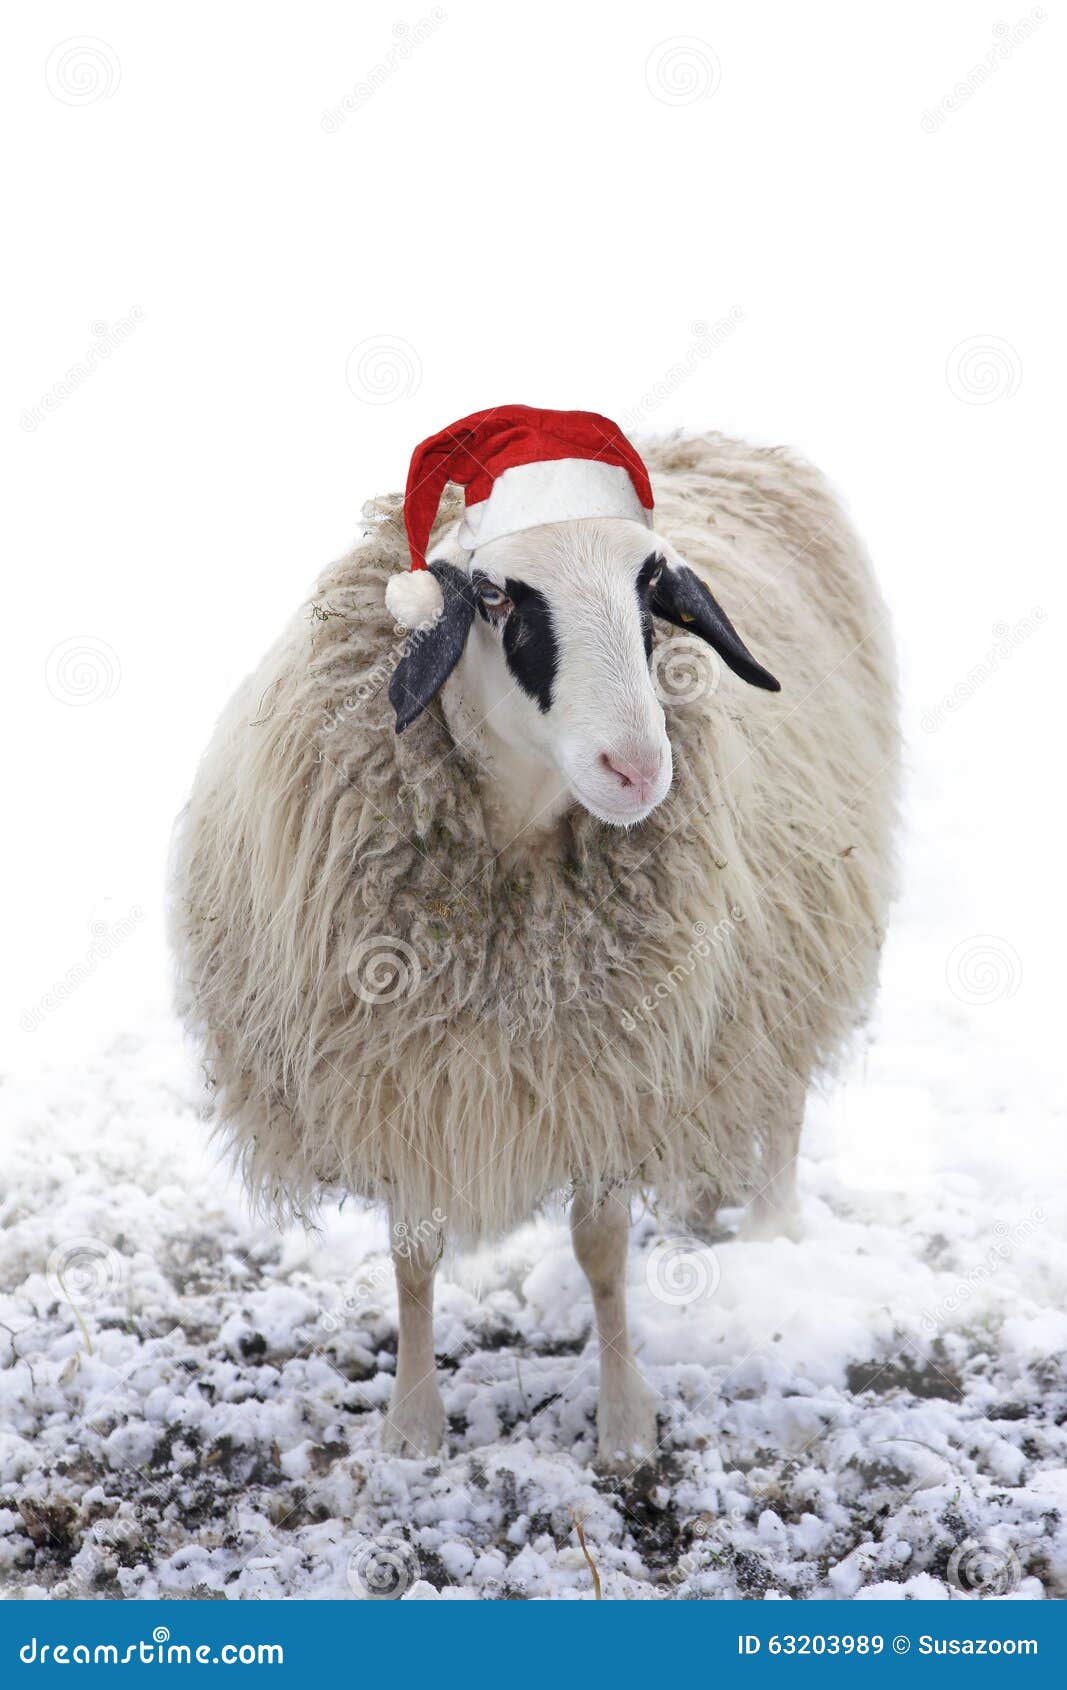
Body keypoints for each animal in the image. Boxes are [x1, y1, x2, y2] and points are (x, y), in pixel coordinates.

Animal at [168, 425, 899, 1466]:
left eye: (650, 588)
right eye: (495, 595)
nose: (635, 768)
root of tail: (716, 437)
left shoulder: (610, 1068)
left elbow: (601, 1252)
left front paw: (625, 1426)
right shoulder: (402, 1077)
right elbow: (413, 1256)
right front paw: (412, 1428)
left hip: (798, 942)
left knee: (784, 1091)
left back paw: (770, 1230)